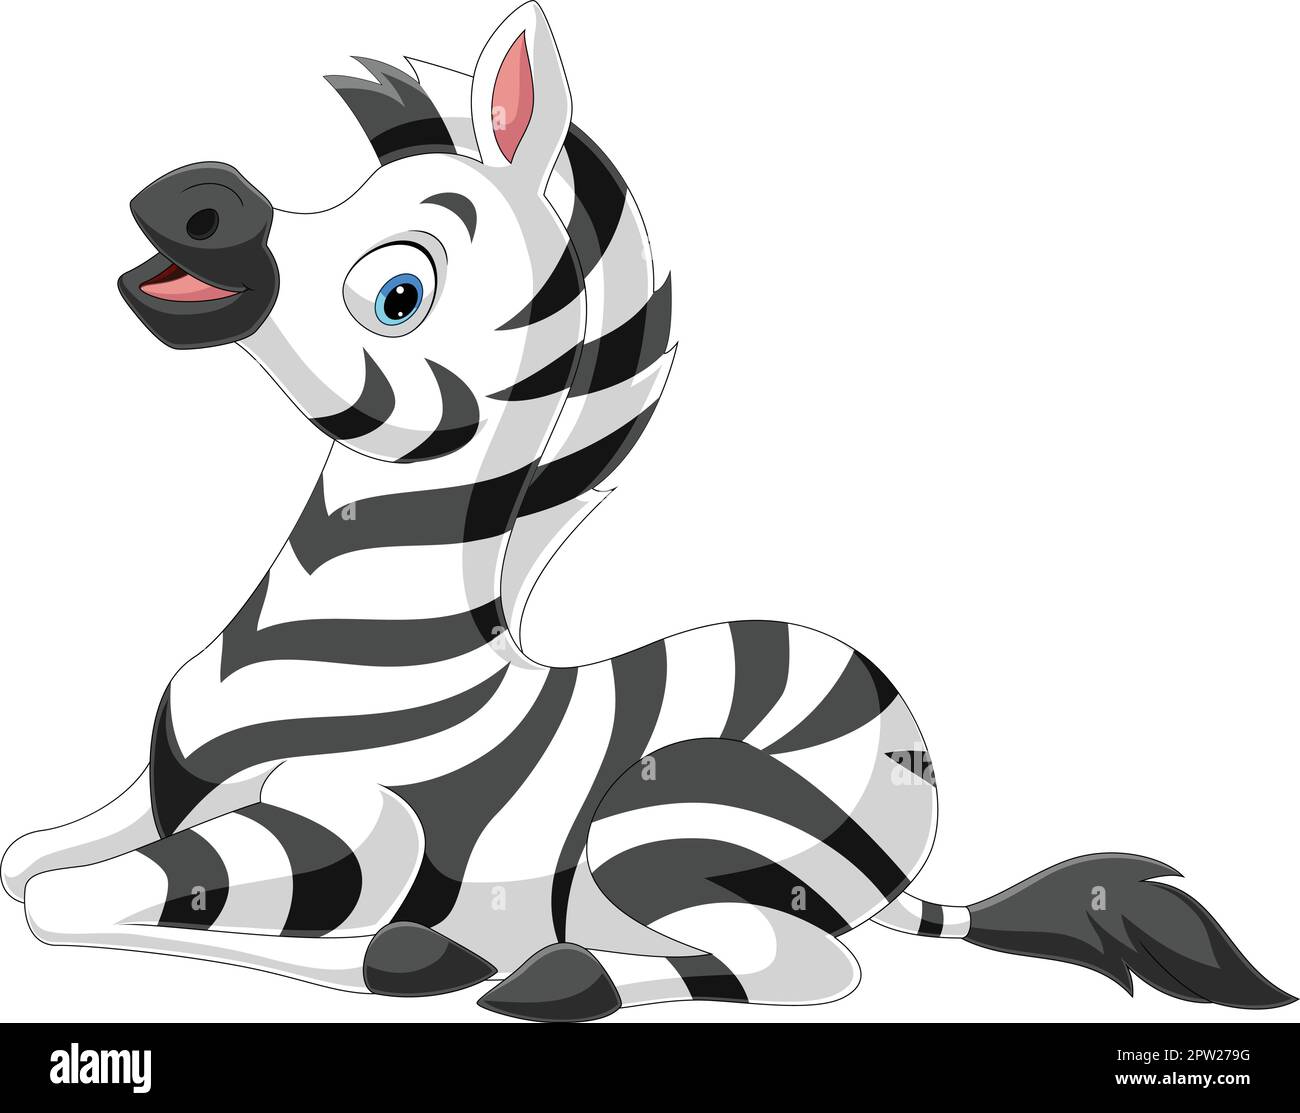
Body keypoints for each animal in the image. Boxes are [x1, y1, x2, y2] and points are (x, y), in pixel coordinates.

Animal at [2, 3, 1291, 1022]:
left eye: (399, 290)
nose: (193, 200)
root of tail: (911, 753)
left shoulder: (355, 835)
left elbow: (78, 902)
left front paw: (392, 952)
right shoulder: (157, 788)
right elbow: (35, 858)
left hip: (661, 827)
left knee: (802, 966)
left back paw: (532, 976)